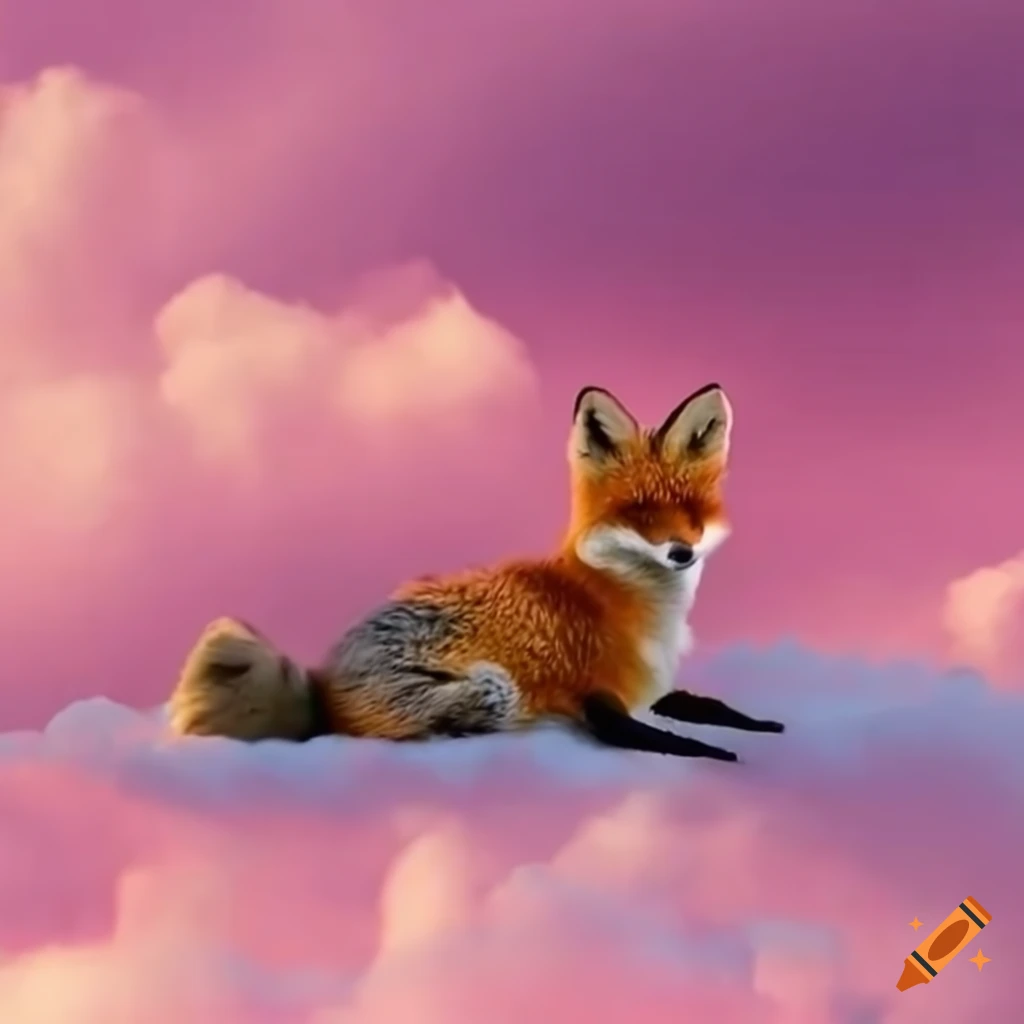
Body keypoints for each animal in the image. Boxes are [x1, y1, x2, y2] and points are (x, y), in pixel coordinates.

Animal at [168, 382, 784, 761]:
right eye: (639, 512)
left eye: (691, 510)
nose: (682, 552)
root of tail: (321, 680)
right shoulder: (597, 698)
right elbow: (675, 739)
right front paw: (727, 753)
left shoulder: (652, 688)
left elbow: (708, 707)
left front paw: (765, 726)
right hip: (495, 688)